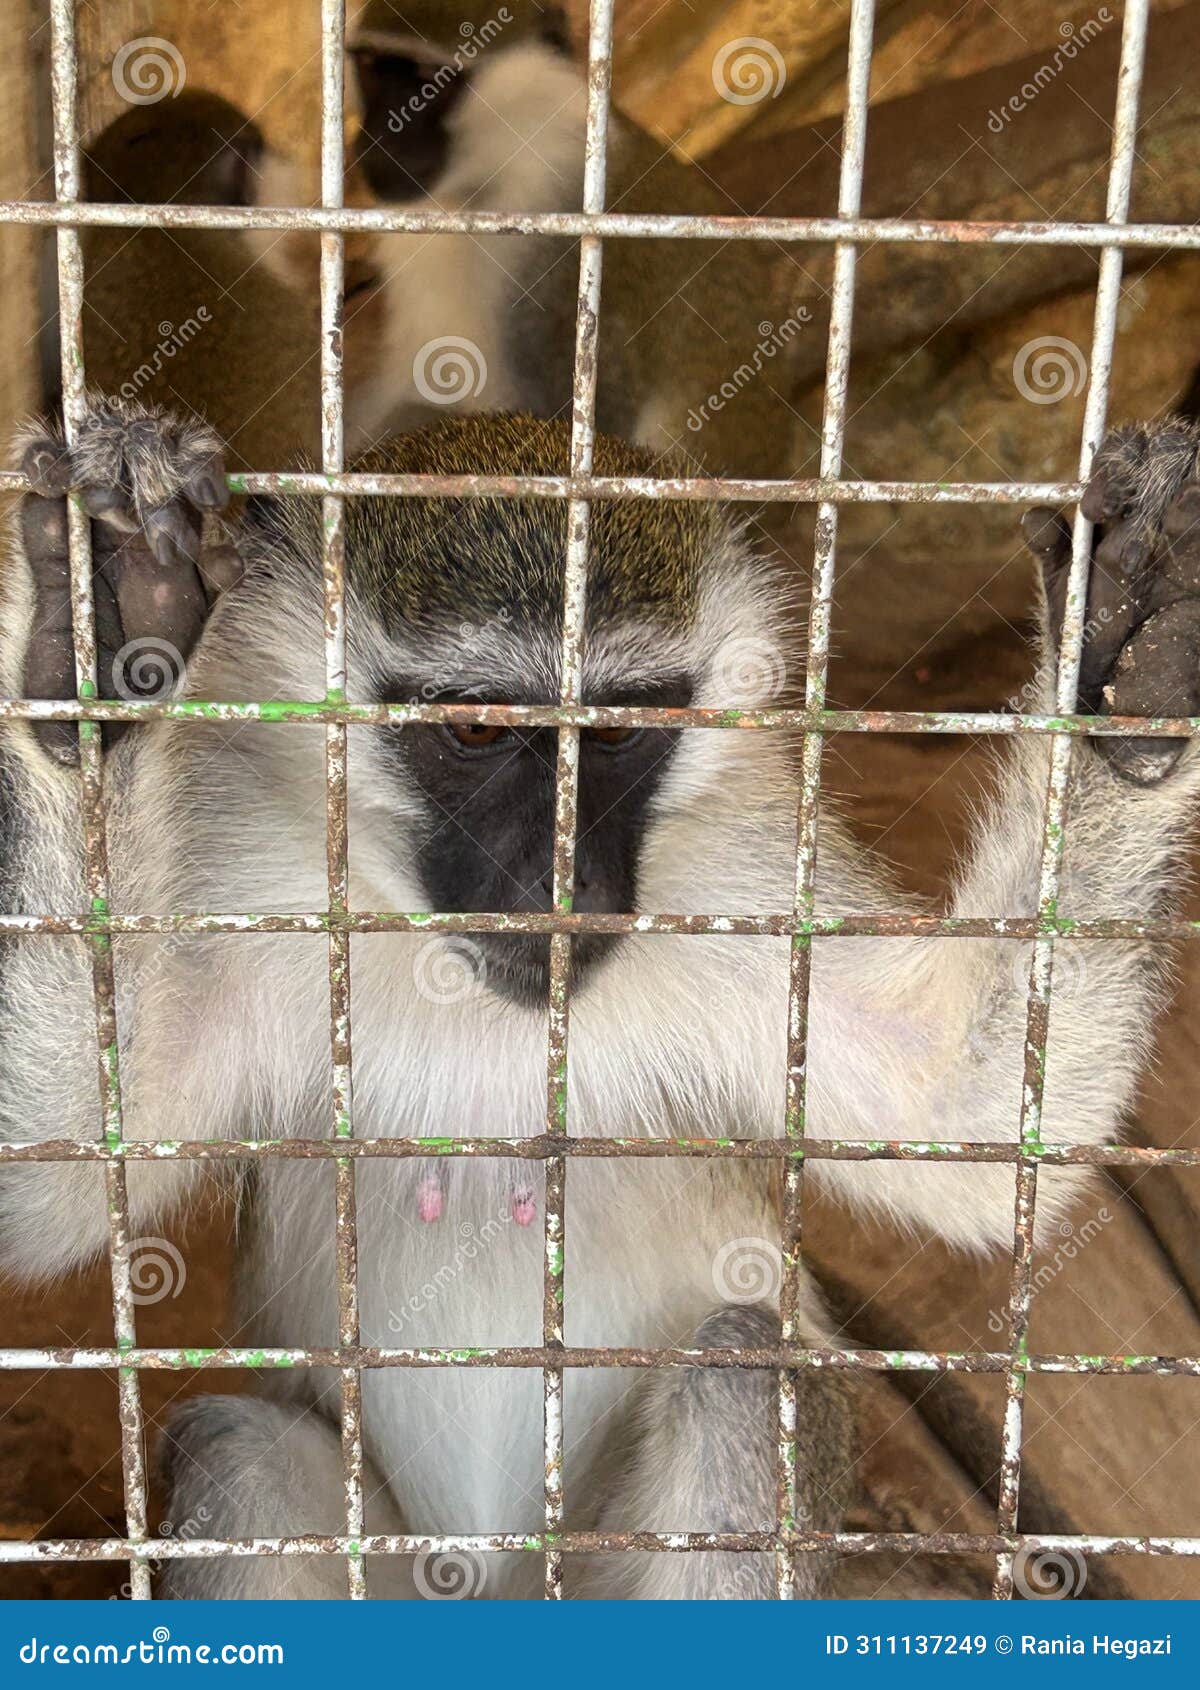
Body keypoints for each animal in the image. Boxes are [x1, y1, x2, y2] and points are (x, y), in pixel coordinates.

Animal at [2, 382, 1200, 1597]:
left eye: (619, 727)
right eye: (475, 728)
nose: (563, 882)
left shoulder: (747, 883)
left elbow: (968, 1116)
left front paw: (1129, 665)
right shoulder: (242, 885)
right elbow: (64, 1166)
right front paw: (102, 647)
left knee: (741, 1378)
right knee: (234, 1445)